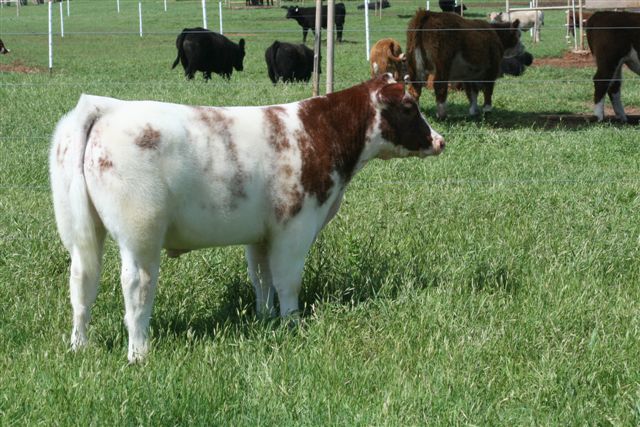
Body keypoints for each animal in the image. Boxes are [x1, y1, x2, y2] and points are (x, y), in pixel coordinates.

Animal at [49, 74, 445, 362]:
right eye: (409, 106)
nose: (440, 140)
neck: (318, 132)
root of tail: (106, 107)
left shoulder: (261, 234)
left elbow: (261, 278)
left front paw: (265, 318)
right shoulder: (294, 228)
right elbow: (287, 280)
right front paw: (291, 323)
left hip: (84, 232)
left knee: (81, 283)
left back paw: (79, 345)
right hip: (140, 234)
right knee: (136, 287)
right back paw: (139, 353)